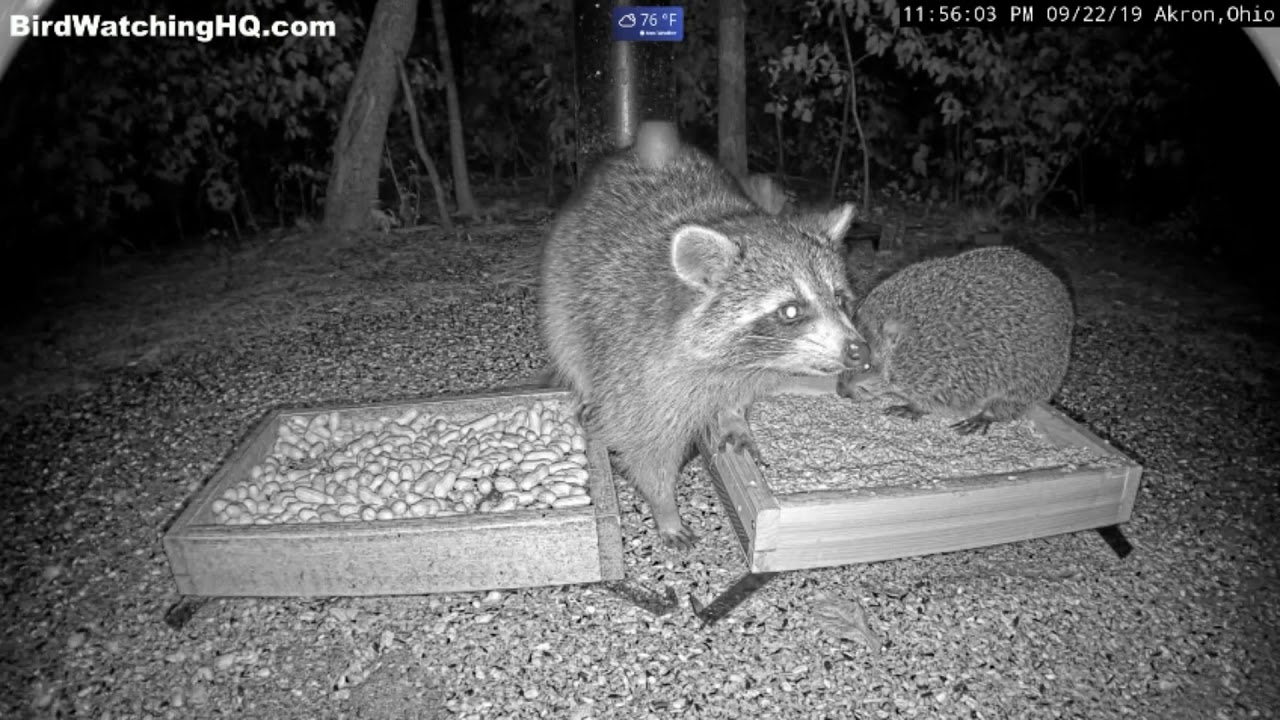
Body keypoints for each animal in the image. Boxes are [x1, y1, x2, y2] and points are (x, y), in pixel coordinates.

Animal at [540, 121, 861, 548]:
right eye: (791, 310)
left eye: (840, 299)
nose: (859, 350)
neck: (743, 361)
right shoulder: (639, 368)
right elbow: (645, 444)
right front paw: (664, 506)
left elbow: (736, 399)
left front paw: (733, 414)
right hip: (561, 279)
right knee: (568, 339)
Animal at [837, 246, 1073, 434]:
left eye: (868, 366)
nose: (841, 391)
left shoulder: (956, 375)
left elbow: (938, 399)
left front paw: (911, 407)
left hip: (1033, 378)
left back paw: (982, 417)